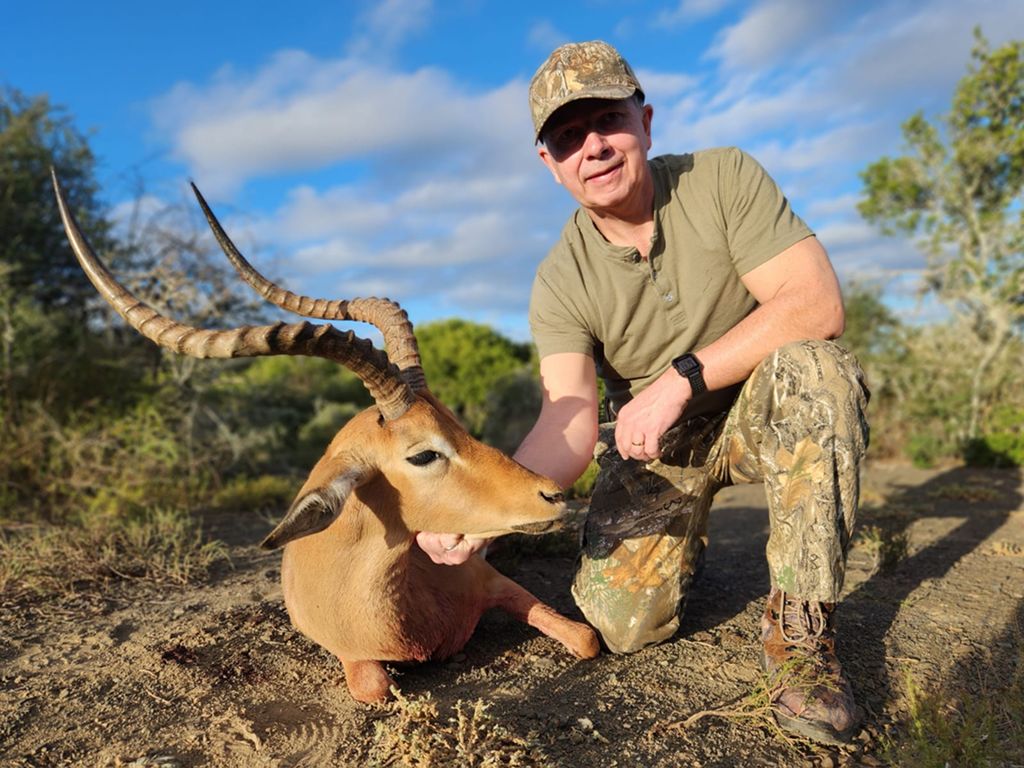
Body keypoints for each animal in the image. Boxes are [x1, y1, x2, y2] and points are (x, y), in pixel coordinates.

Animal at [52, 171, 600, 703]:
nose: (553, 496)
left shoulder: (493, 581)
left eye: (458, 424)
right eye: (423, 453)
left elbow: (587, 637)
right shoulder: (357, 659)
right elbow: (375, 688)